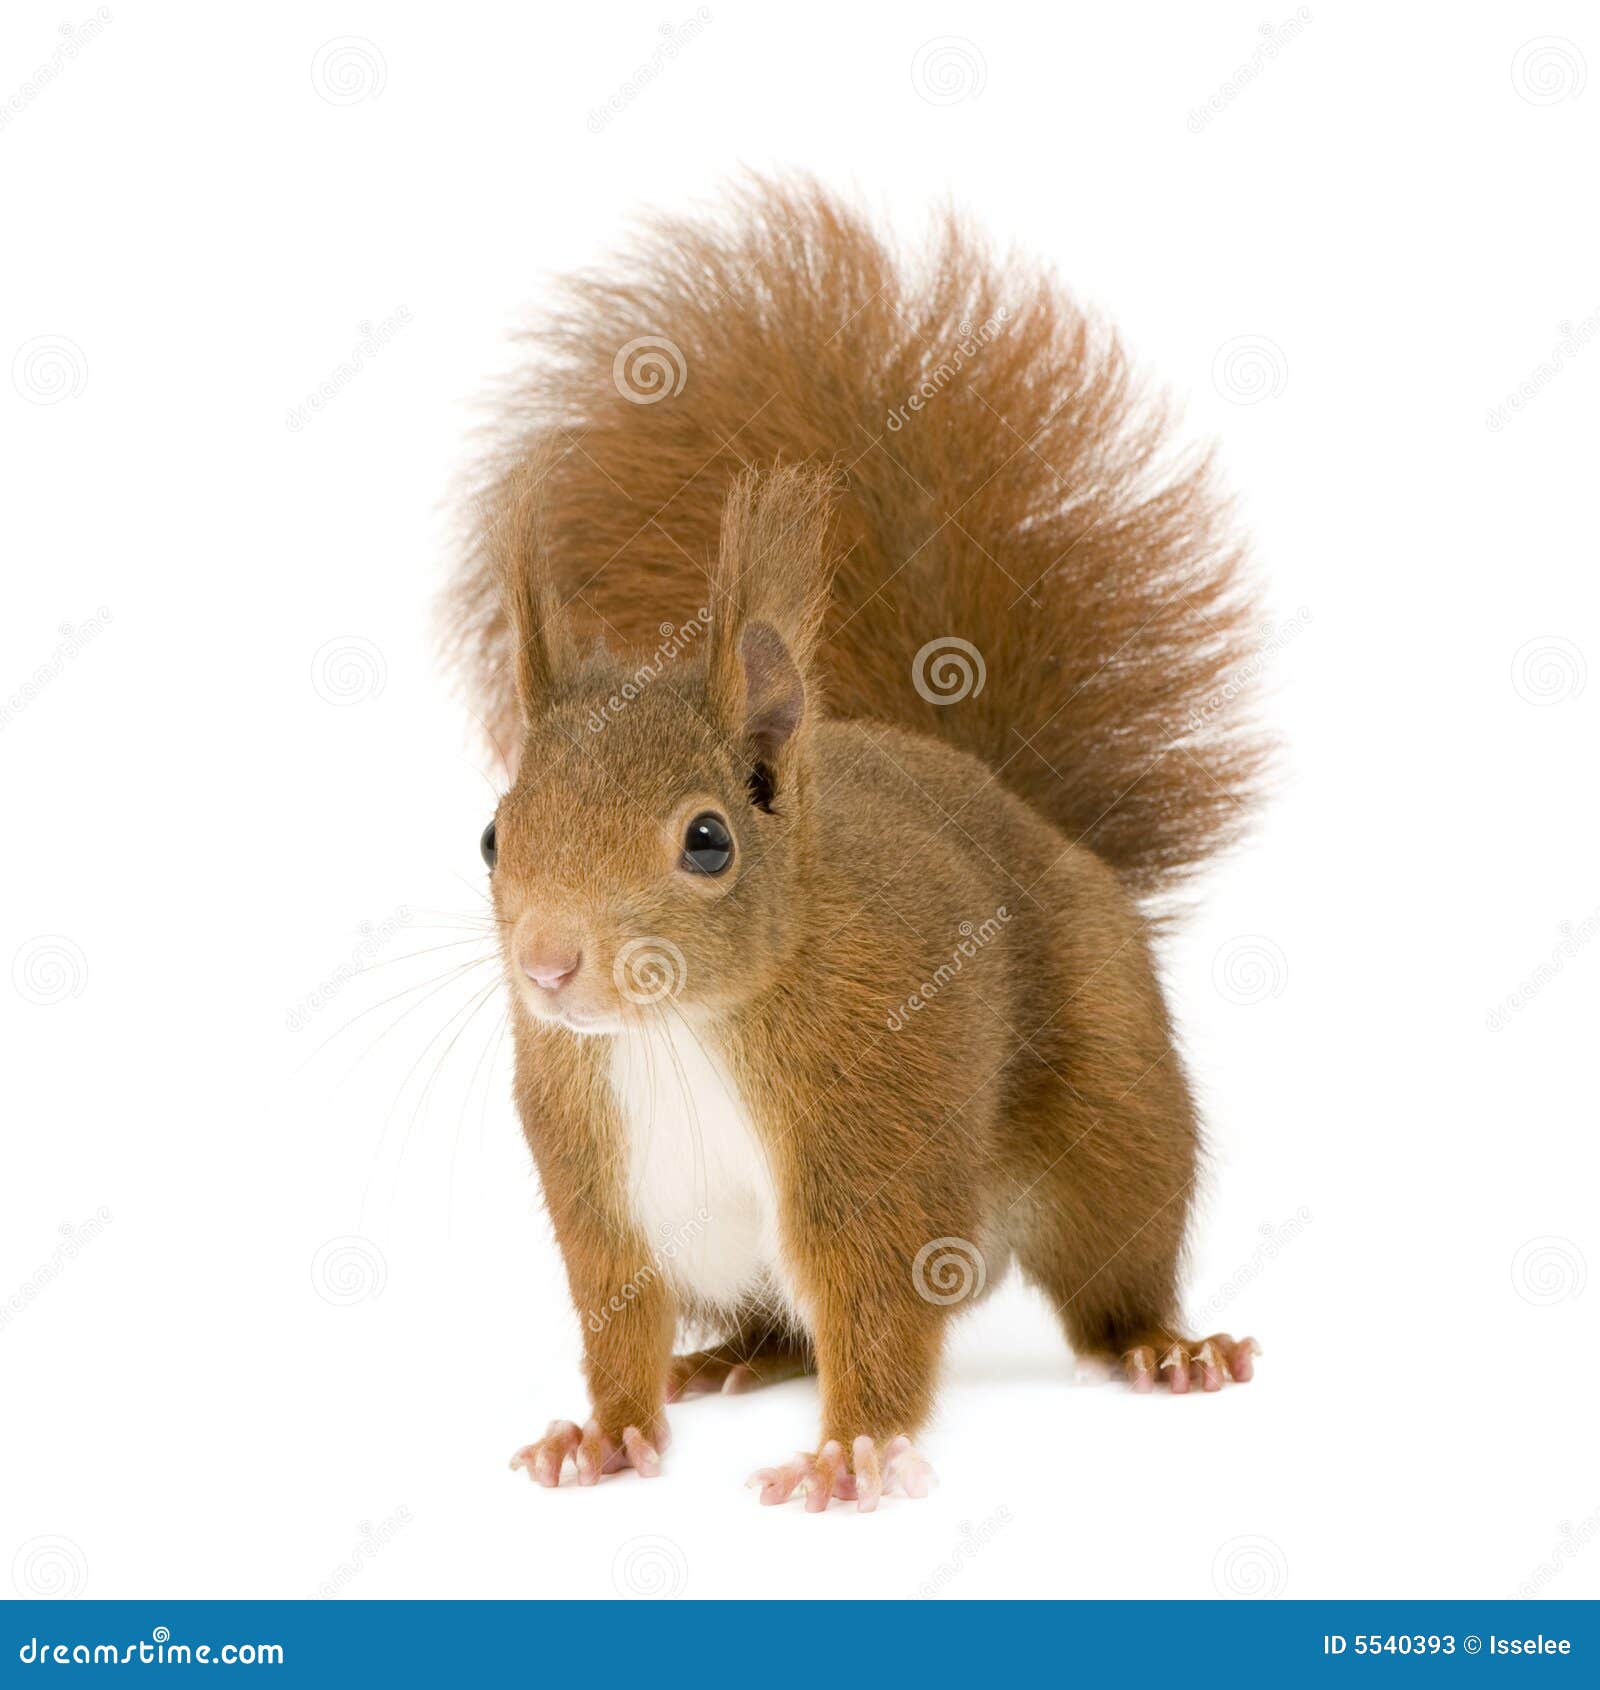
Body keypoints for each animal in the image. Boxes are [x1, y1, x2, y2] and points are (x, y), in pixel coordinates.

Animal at [442, 177, 1271, 1512]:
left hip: (1116, 1120)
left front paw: (853, 1452)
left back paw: (1165, 1348)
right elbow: (615, 1315)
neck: (682, 1030)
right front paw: (602, 1431)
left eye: (708, 840)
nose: (549, 968)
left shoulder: (876, 1121)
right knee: (771, 1322)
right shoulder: (595, 1176)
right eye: (489, 834)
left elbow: (877, 1300)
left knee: (1110, 1271)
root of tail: (1011, 802)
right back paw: (726, 1358)